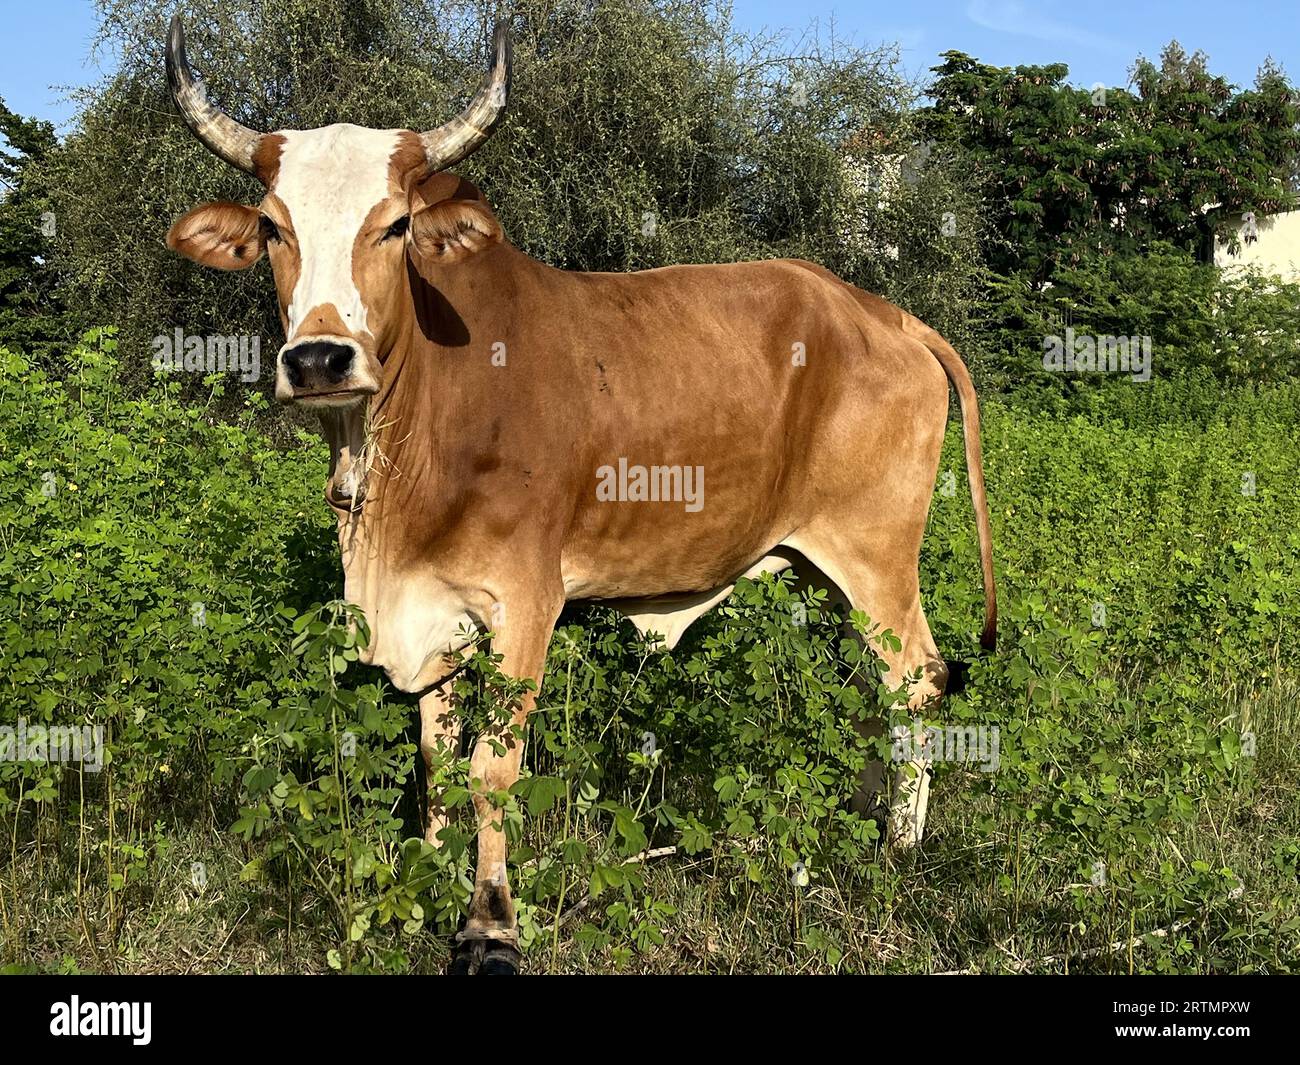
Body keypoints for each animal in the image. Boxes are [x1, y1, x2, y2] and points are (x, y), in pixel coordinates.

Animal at [163, 15, 996, 974]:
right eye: (272, 228)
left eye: (396, 225)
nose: (319, 359)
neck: (402, 441)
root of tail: (886, 315)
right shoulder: (435, 610)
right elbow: (436, 758)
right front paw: (434, 885)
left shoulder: (527, 602)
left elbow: (491, 768)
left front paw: (490, 923)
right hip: (825, 568)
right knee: (878, 690)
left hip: (878, 560)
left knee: (917, 681)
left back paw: (900, 844)